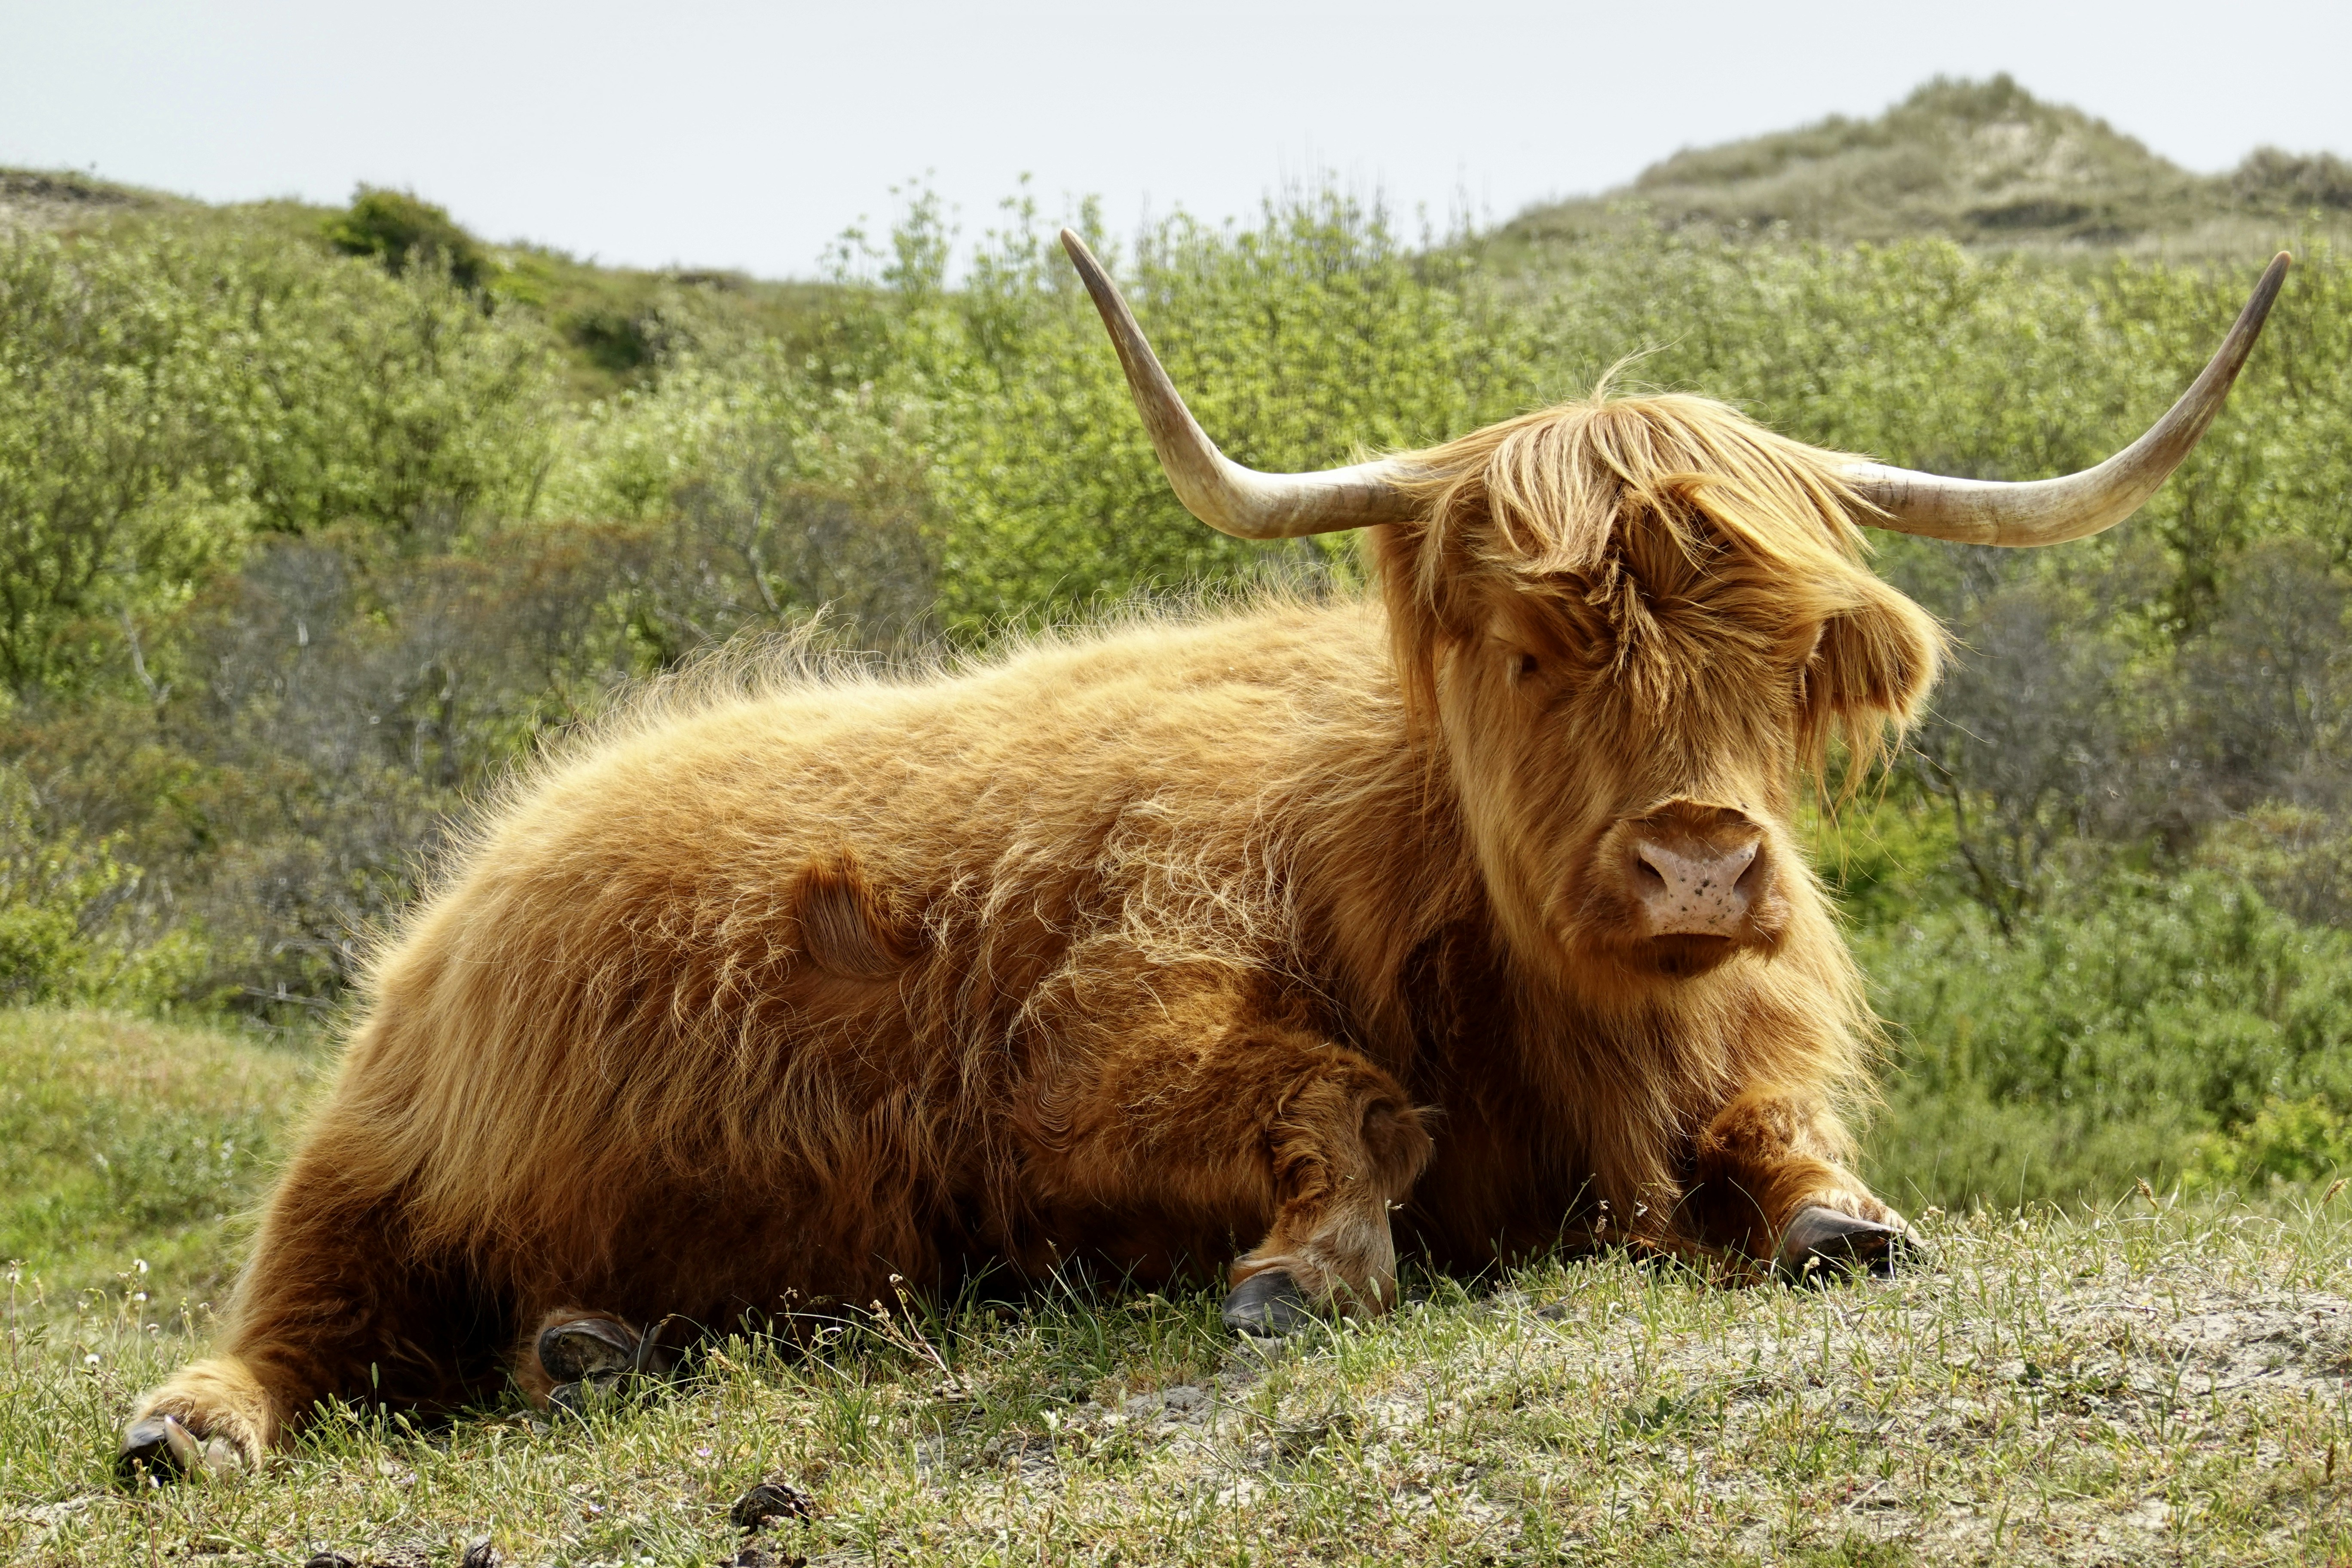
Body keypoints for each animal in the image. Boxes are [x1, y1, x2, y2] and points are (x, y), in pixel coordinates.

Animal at [119, 238, 2289, 1479]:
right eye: (1528, 646)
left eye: (1780, 651)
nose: (1697, 863)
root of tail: (514, 825)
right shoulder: (1078, 1064)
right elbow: (1347, 1105)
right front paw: (1304, 1269)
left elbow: (1793, 1151)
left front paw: (1842, 1217)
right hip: (375, 1141)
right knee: (289, 1312)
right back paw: (189, 1428)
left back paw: (591, 1346)